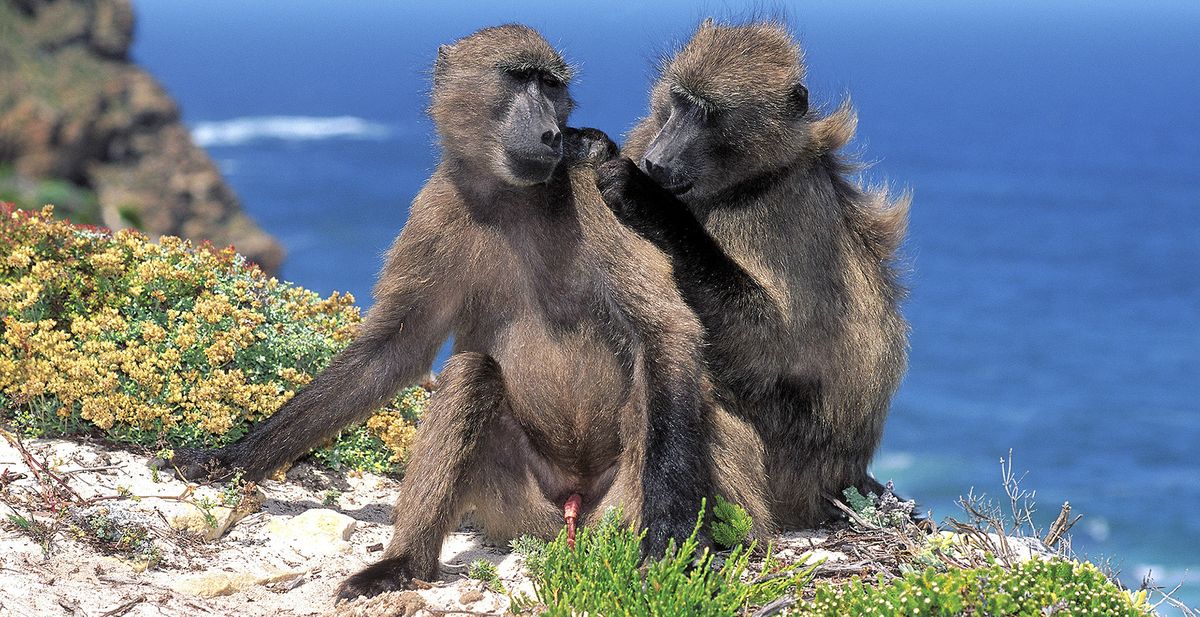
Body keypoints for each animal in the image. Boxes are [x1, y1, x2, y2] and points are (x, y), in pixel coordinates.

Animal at [165, 24, 771, 600]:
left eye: (551, 84)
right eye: (517, 77)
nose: (552, 133)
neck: (513, 195)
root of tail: (571, 508)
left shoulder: (596, 190)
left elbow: (666, 328)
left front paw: (670, 535)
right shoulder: (435, 210)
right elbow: (395, 349)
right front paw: (231, 459)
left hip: (615, 501)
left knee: (656, 385)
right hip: (510, 506)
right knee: (468, 374)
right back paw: (403, 565)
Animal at [597, 19, 910, 530]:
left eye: (709, 115)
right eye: (680, 102)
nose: (657, 163)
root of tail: (847, 474)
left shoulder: (776, 208)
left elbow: (769, 348)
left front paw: (648, 202)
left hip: (794, 468)